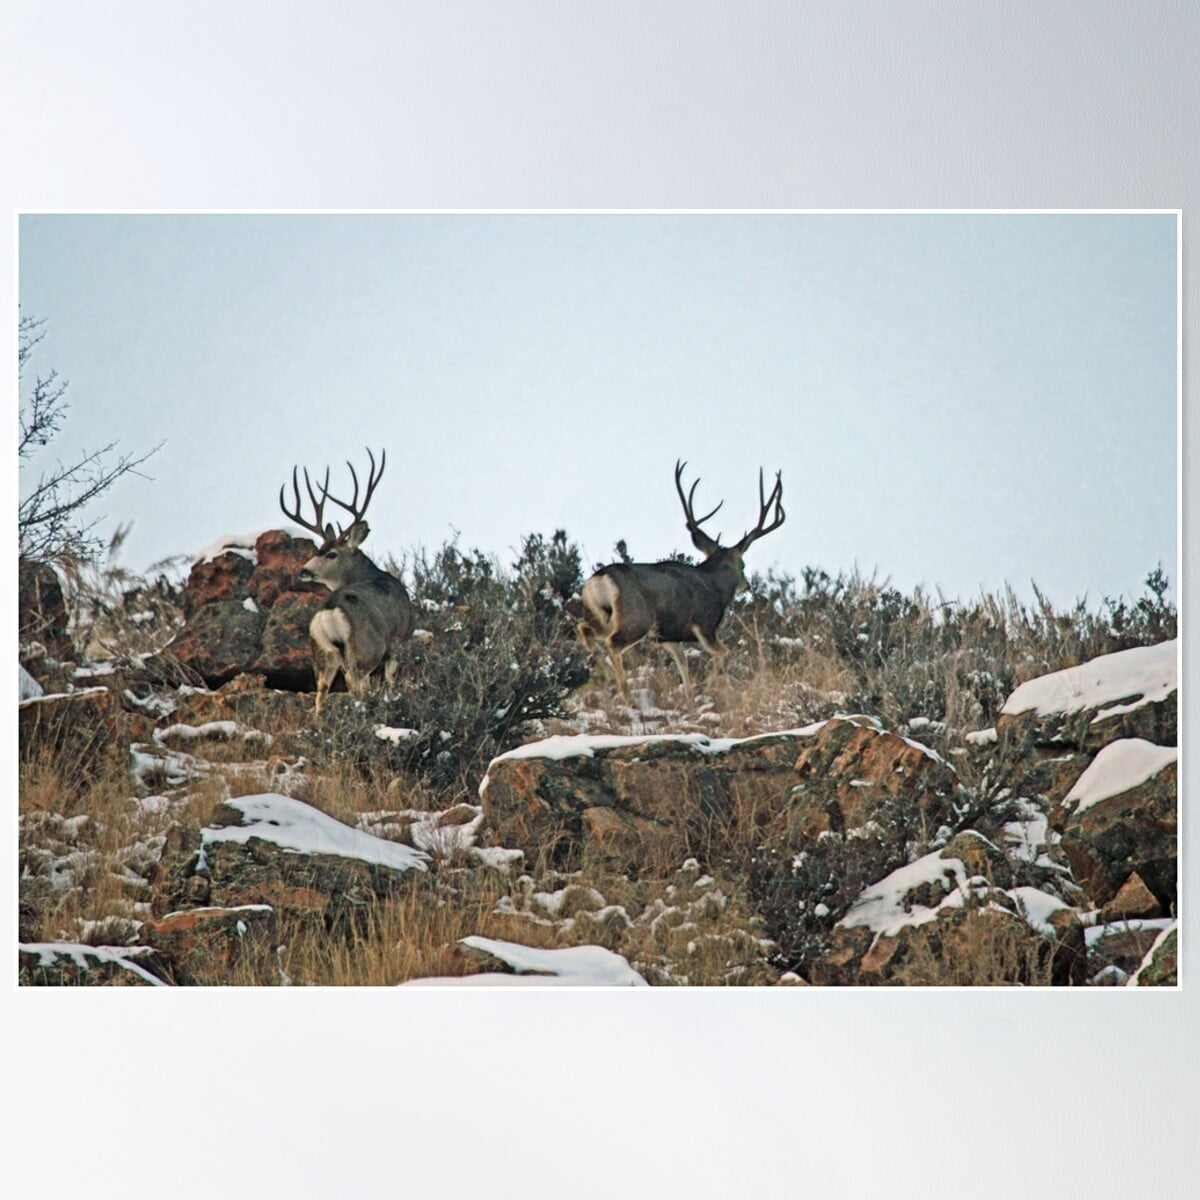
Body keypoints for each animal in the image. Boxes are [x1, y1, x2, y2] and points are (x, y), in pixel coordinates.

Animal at [278, 448, 413, 715]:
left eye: (329, 553)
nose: (303, 571)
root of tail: (330, 611)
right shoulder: (399, 641)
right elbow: (391, 679)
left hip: (321, 653)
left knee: (321, 692)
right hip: (365, 648)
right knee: (355, 680)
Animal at [578, 460, 785, 703]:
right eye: (743, 565)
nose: (747, 585)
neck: (714, 586)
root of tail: (600, 579)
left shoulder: (667, 634)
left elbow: (682, 662)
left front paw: (689, 698)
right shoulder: (705, 624)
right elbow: (723, 654)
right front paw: (704, 688)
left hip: (604, 615)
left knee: (585, 628)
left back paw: (608, 677)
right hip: (637, 617)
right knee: (612, 643)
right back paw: (626, 695)